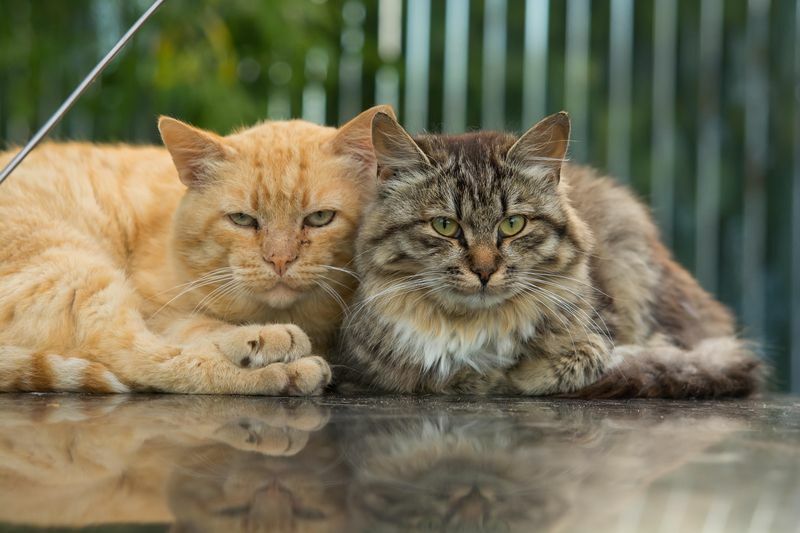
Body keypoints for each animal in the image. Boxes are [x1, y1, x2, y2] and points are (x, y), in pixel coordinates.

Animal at [0, 105, 390, 394]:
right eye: (242, 219)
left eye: (320, 218)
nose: (279, 259)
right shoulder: (157, 307)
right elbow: (196, 327)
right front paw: (259, 339)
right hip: (77, 271)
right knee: (133, 356)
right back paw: (282, 368)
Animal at [334, 111, 764, 394]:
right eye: (445, 226)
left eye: (513, 224)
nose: (485, 271)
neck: (475, 329)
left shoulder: (600, 328)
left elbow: (586, 356)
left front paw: (516, 375)